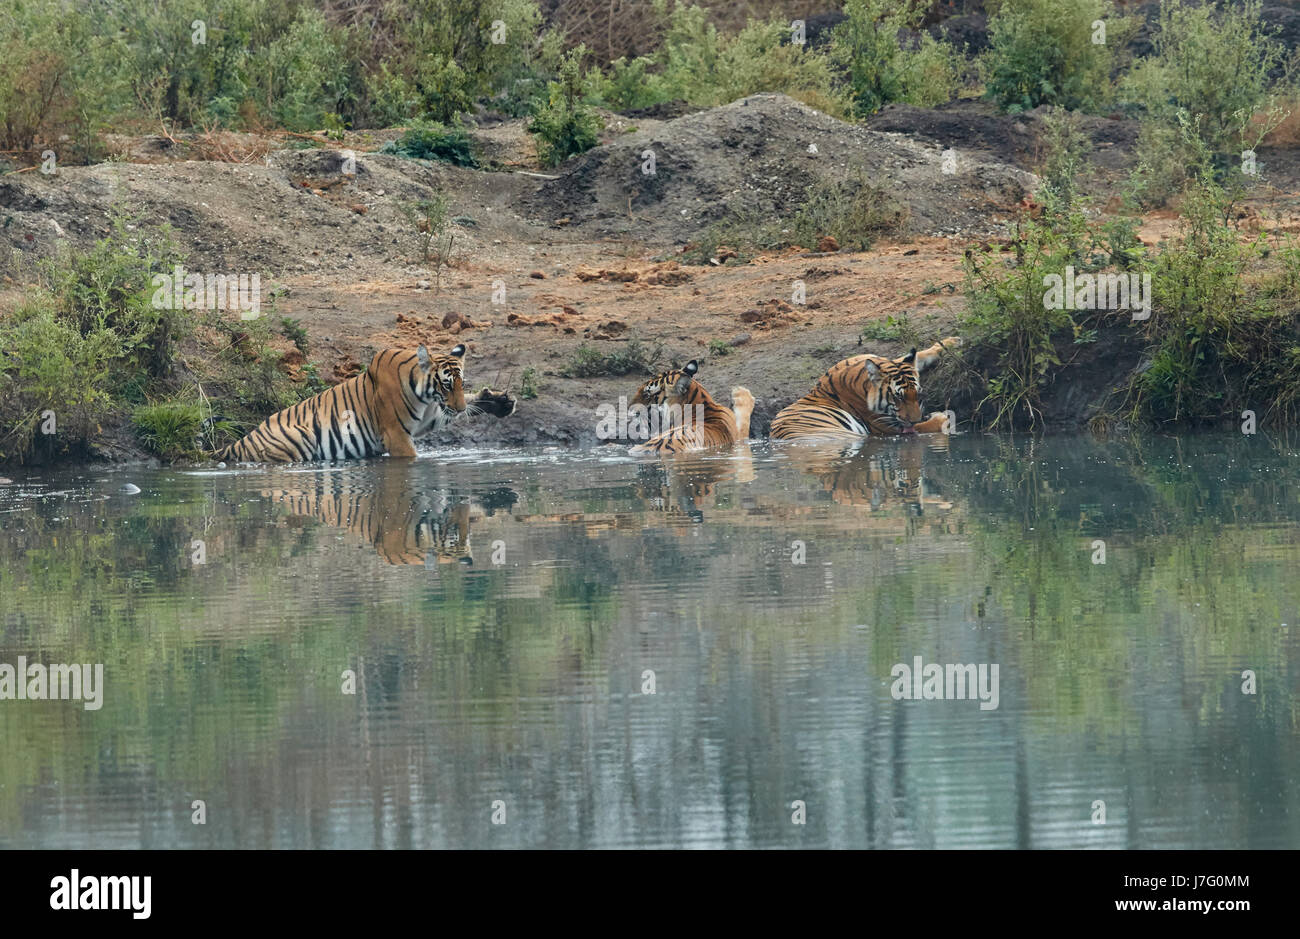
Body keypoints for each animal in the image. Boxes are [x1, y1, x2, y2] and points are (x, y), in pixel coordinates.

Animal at [211, 343, 515, 463]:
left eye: (461, 384)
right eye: (446, 384)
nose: (460, 408)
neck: (427, 395)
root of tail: (237, 443)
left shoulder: (431, 415)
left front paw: (501, 402)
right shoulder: (397, 435)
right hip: (298, 437)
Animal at [770, 337, 961, 440]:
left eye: (918, 395)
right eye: (898, 397)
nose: (914, 420)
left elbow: (920, 355)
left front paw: (951, 342)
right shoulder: (885, 426)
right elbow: (924, 427)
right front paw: (942, 418)